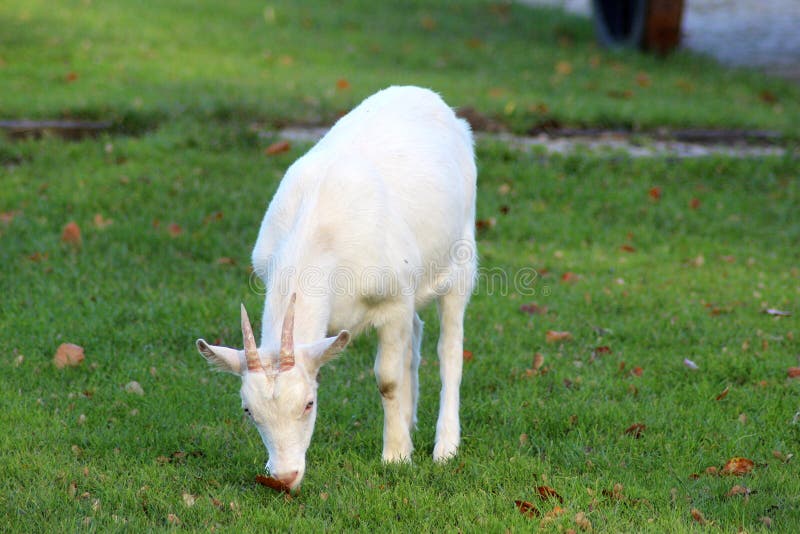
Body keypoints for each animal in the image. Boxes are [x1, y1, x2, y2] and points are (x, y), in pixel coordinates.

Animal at [196, 86, 477, 491]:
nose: (285, 477)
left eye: (309, 403)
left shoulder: (393, 299)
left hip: (463, 254)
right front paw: (403, 443)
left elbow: (387, 379)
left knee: (450, 347)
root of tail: (427, 94)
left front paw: (395, 458)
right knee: (417, 334)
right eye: (249, 411)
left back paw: (445, 447)